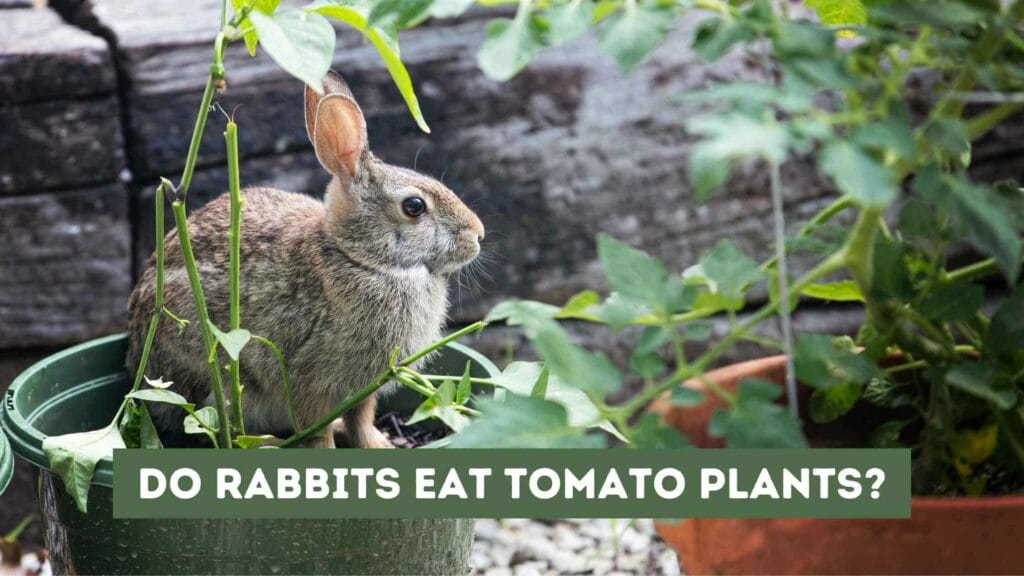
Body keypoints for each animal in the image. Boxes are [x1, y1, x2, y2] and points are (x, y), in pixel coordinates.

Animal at [126, 70, 485, 449]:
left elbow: (361, 417)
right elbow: (317, 428)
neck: (360, 257)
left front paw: (377, 444)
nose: (478, 235)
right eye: (414, 206)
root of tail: (135, 358)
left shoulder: (364, 386)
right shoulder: (308, 378)